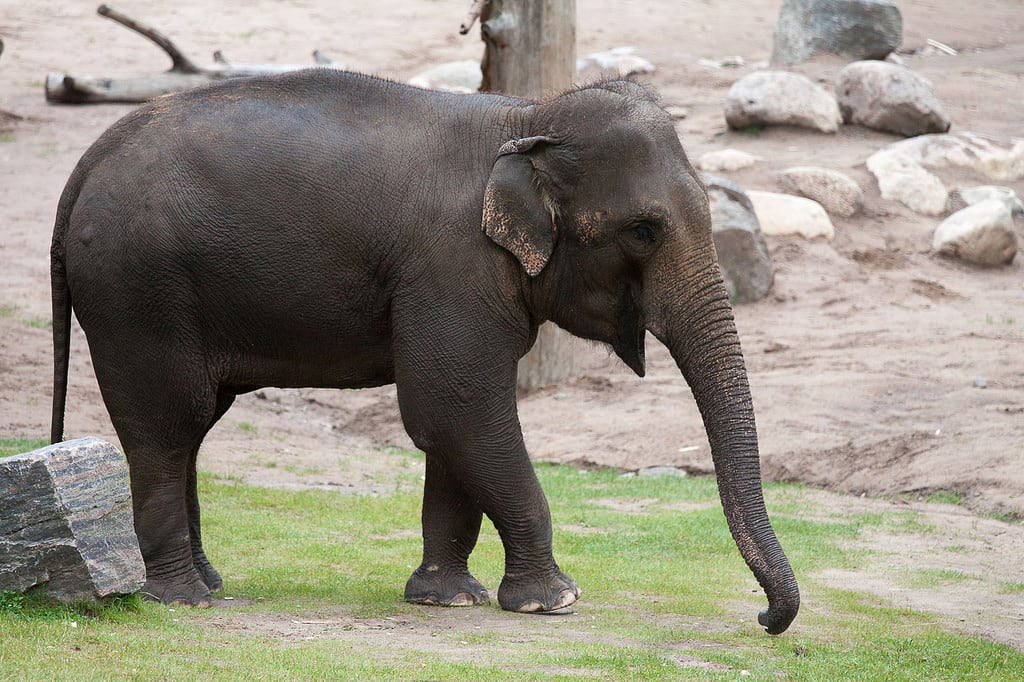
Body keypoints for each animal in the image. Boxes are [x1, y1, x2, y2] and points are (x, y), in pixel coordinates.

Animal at [49, 69, 799, 634]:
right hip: (136, 289)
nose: (764, 620)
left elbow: (452, 426)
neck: (526, 117)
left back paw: (208, 583)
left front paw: (447, 597)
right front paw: (553, 600)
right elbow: (456, 410)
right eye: (644, 230)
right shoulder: (451, 270)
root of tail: (84, 167)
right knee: (167, 425)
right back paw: (183, 599)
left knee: (194, 425)